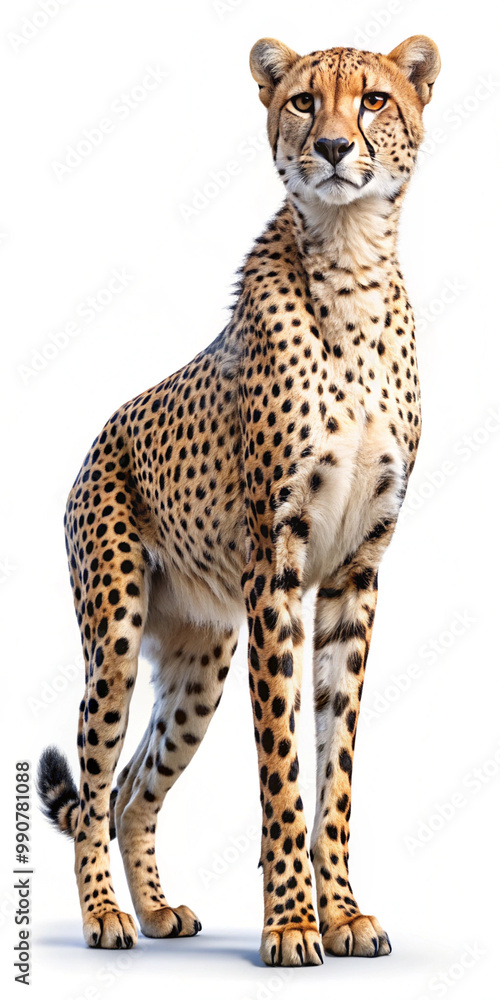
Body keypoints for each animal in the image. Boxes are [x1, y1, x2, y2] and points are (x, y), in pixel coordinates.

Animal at [38, 34, 440, 967]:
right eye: (302, 101)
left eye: (373, 99)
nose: (331, 146)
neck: (352, 261)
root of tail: (94, 440)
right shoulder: (276, 571)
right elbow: (282, 766)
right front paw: (291, 924)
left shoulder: (356, 571)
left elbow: (335, 763)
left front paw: (342, 913)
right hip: (115, 633)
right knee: (97, 780)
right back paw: (106, 917)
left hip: (200, 660)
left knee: (132, 791)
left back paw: (157, 912)